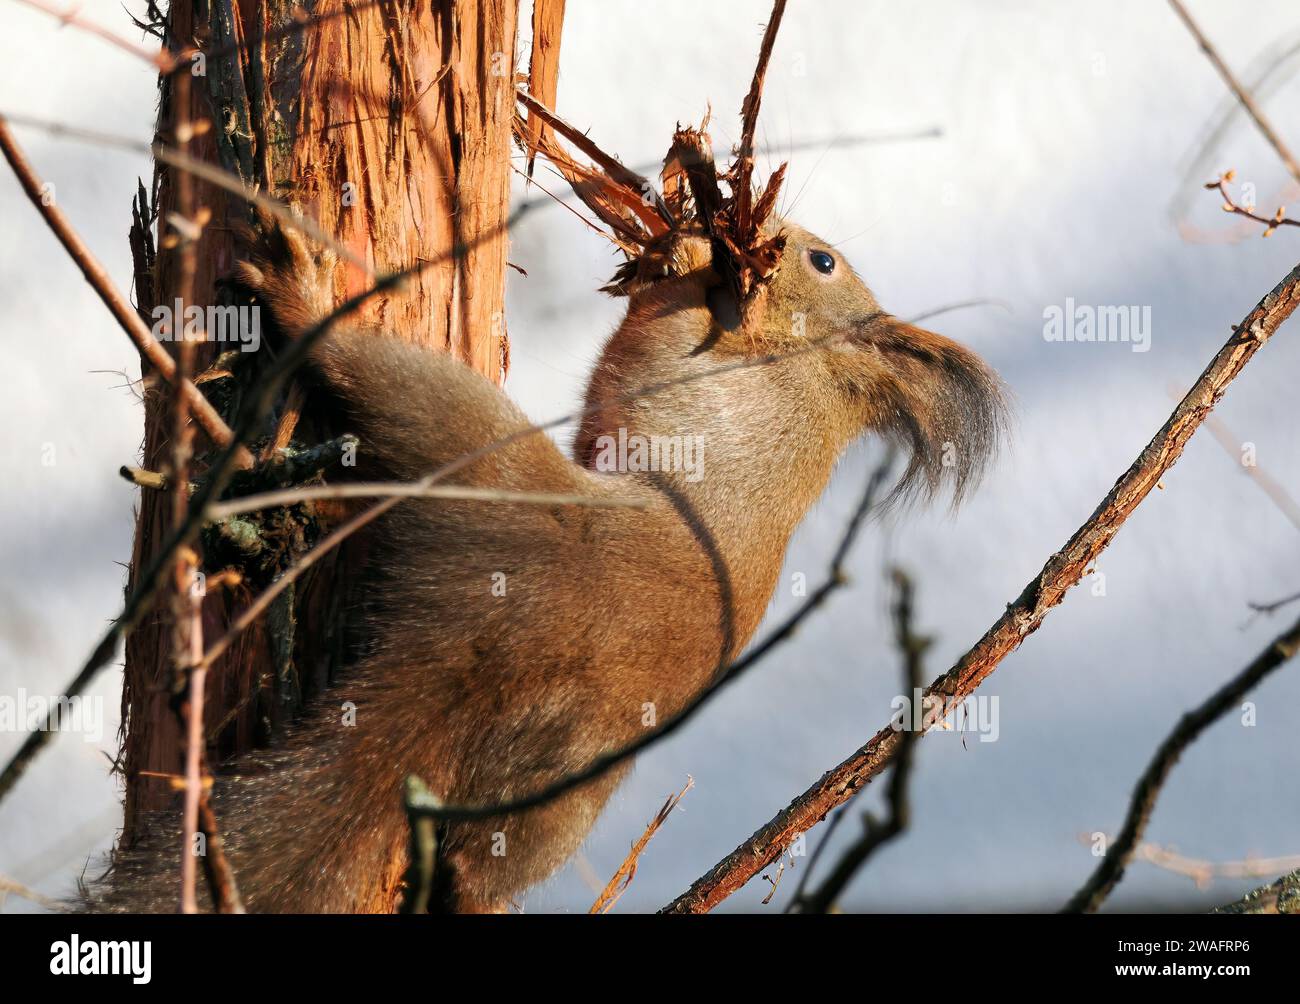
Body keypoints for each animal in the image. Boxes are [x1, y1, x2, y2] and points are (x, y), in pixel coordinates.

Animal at [94, 213, 1004, 913]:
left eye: (821, 262)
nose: (767, 232)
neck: (816, 361)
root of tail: (499, 640)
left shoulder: (720, 352)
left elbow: (664, 322)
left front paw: (690, 254)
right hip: (567, 786)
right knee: (489, 861)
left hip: (468, 444)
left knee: (370, 369)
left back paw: (308, 299)